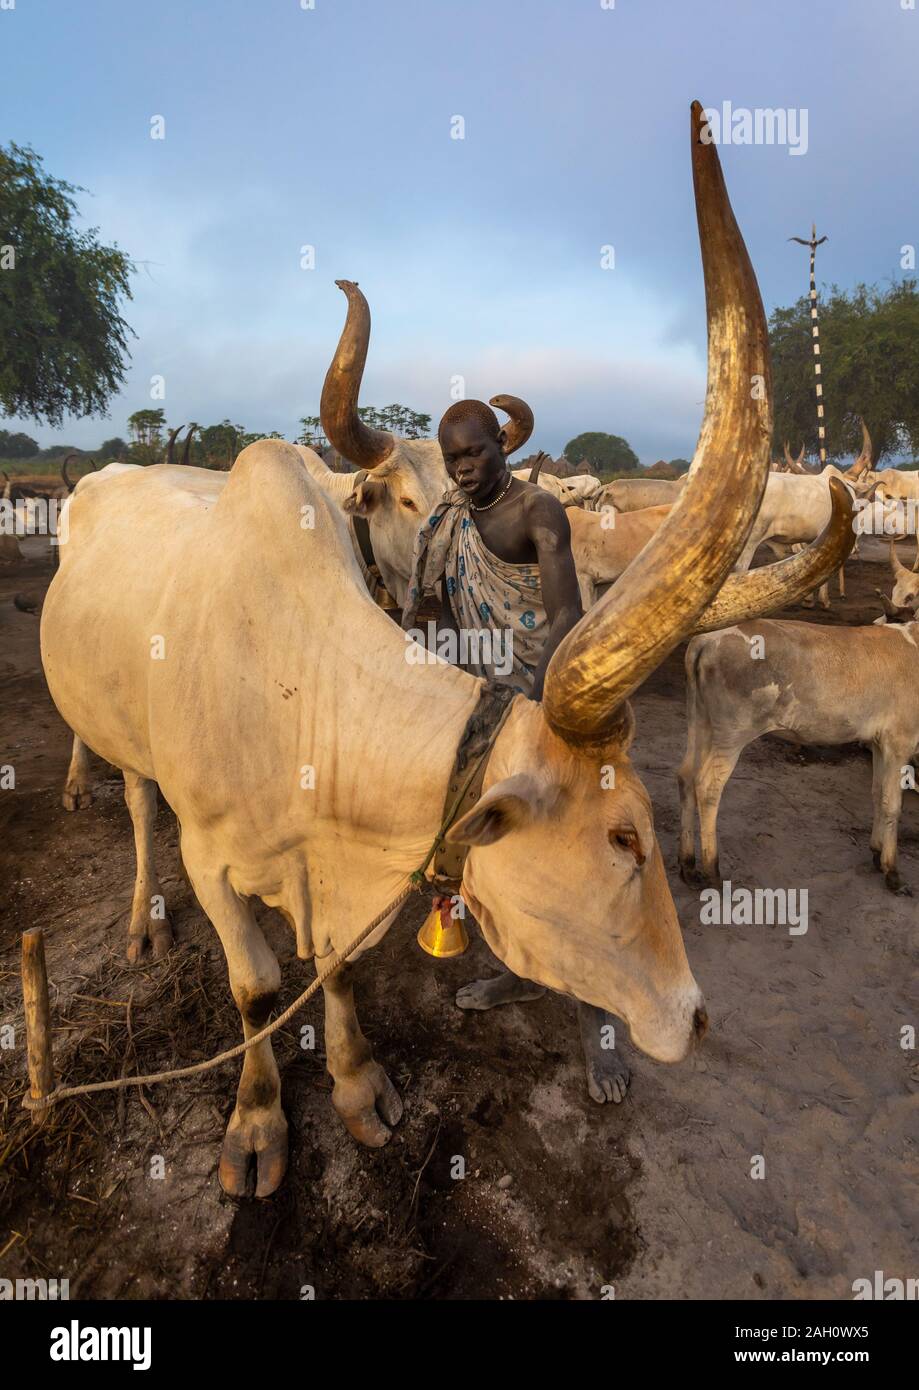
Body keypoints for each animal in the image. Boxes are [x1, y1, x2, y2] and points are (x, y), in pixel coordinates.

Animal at [40, 103, 853, 1195]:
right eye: (624, 839)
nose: (694, 1017)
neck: (296, 693)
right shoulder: (213, 862)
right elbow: (255, 990)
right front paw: (255, 1123)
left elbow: (334, 967)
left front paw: (355, 1086)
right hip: (122, 743)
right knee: (134, 804)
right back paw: (138, 916)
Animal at [677, 617, 919, 896]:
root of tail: (707, 638)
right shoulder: (900, 739)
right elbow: (892, 804)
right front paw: (893, 873)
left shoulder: (879, 742)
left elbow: (877, 794)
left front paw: (877, 853)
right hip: (732, 732)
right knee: (708, 787)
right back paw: (713, 873)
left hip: (700, 721)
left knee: (686, 776)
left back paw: (688, 867)